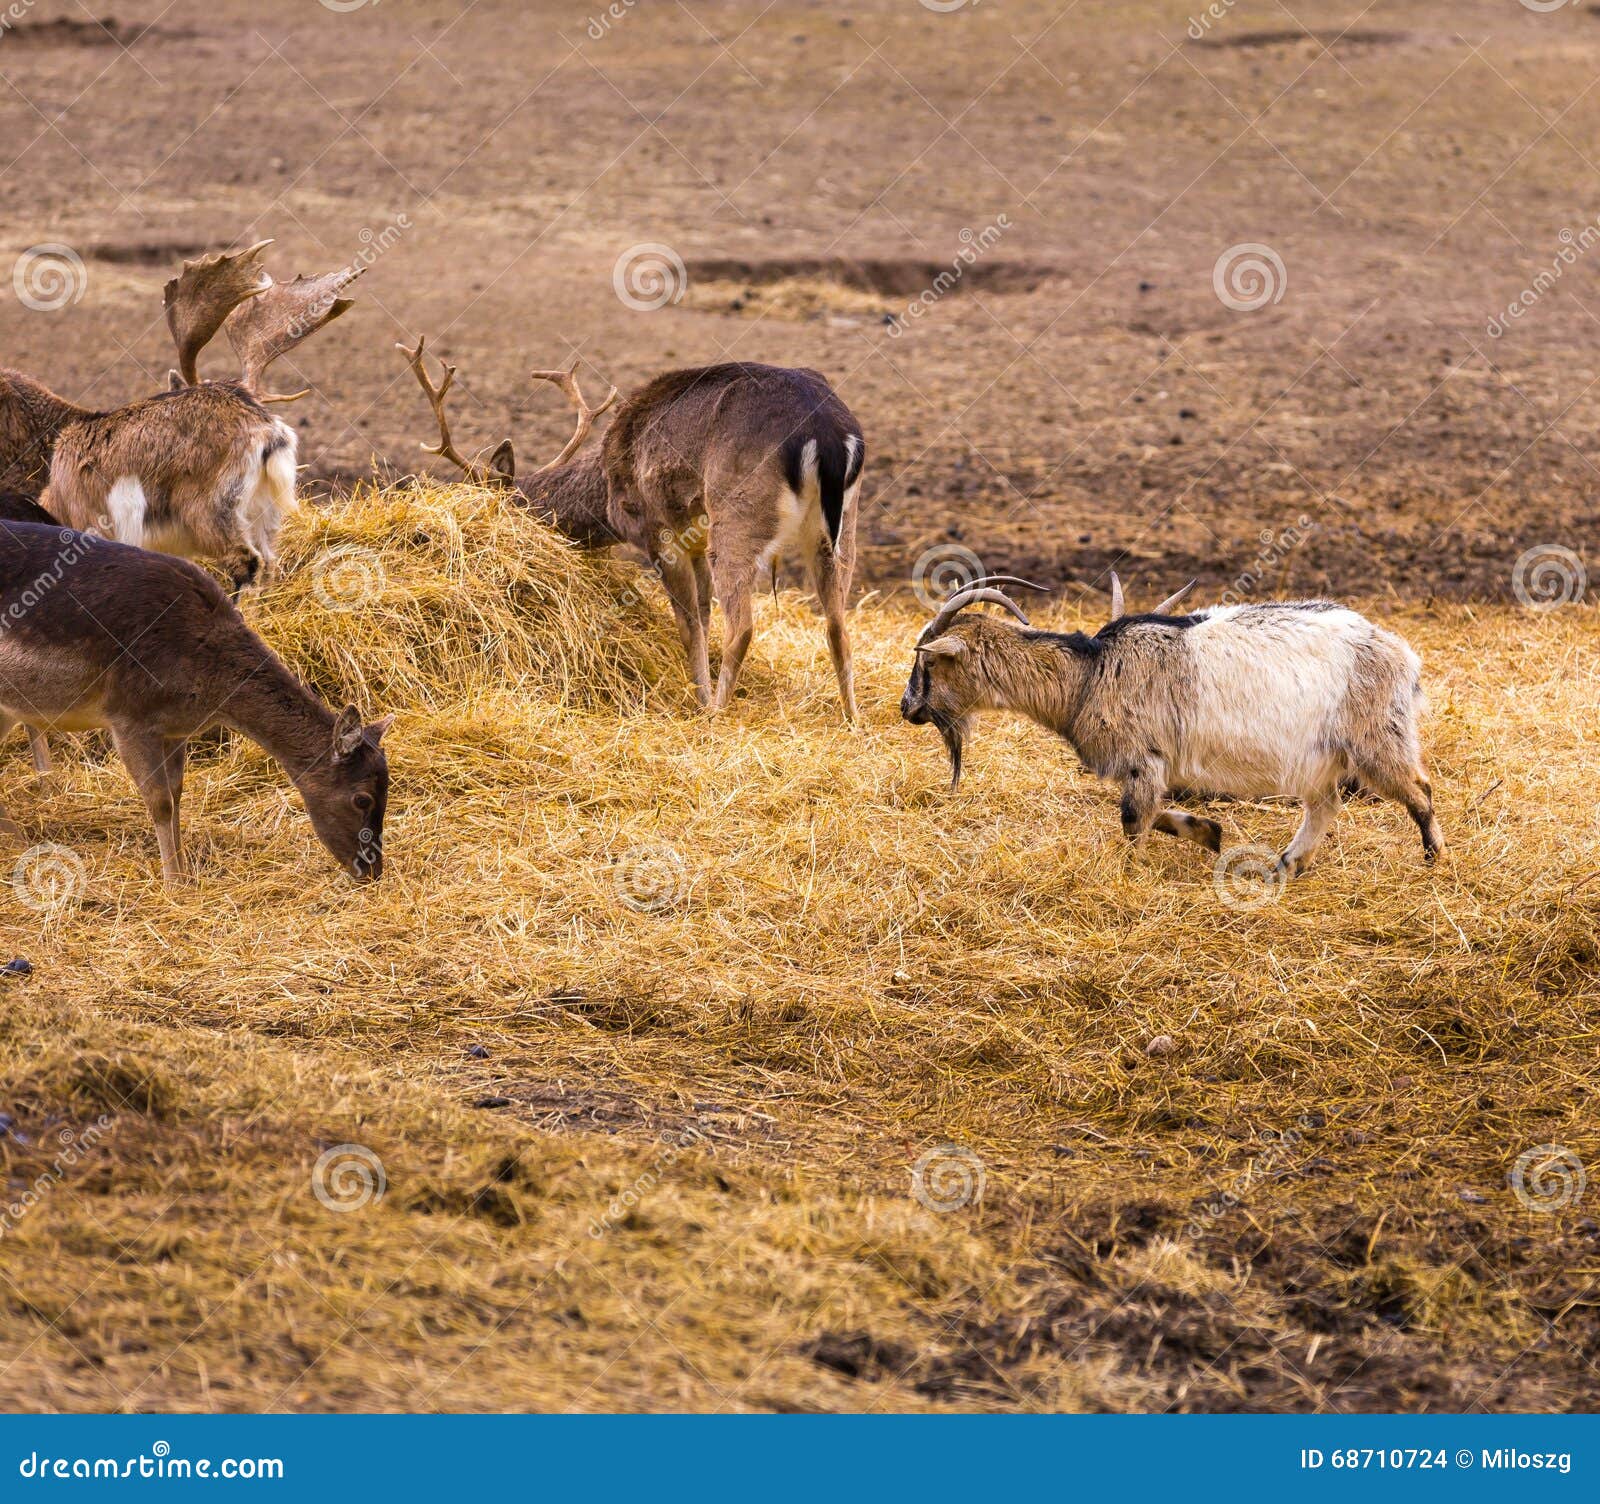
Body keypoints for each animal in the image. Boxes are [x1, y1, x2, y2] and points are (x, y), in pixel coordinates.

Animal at [0, 518, 391, 884]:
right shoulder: (128, 716)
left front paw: (186, 871)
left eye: (387, 788)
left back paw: (18, 839)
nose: (372, 870)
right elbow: (159, 801)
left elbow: (177, 793)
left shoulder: (174, 729)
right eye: (362, 799)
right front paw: (174, 882)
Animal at [398, 338, 866, 718]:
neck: (607, 491)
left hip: (737, 511)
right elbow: (702, 616)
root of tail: (826, 434)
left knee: (744, 625)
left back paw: (717, 712)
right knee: (838, 626)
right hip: (839, 530)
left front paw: (699, 700)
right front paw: (697, 689)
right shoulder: (693, 541)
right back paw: (852, 720)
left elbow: (689, 626)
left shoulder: (655, 528)